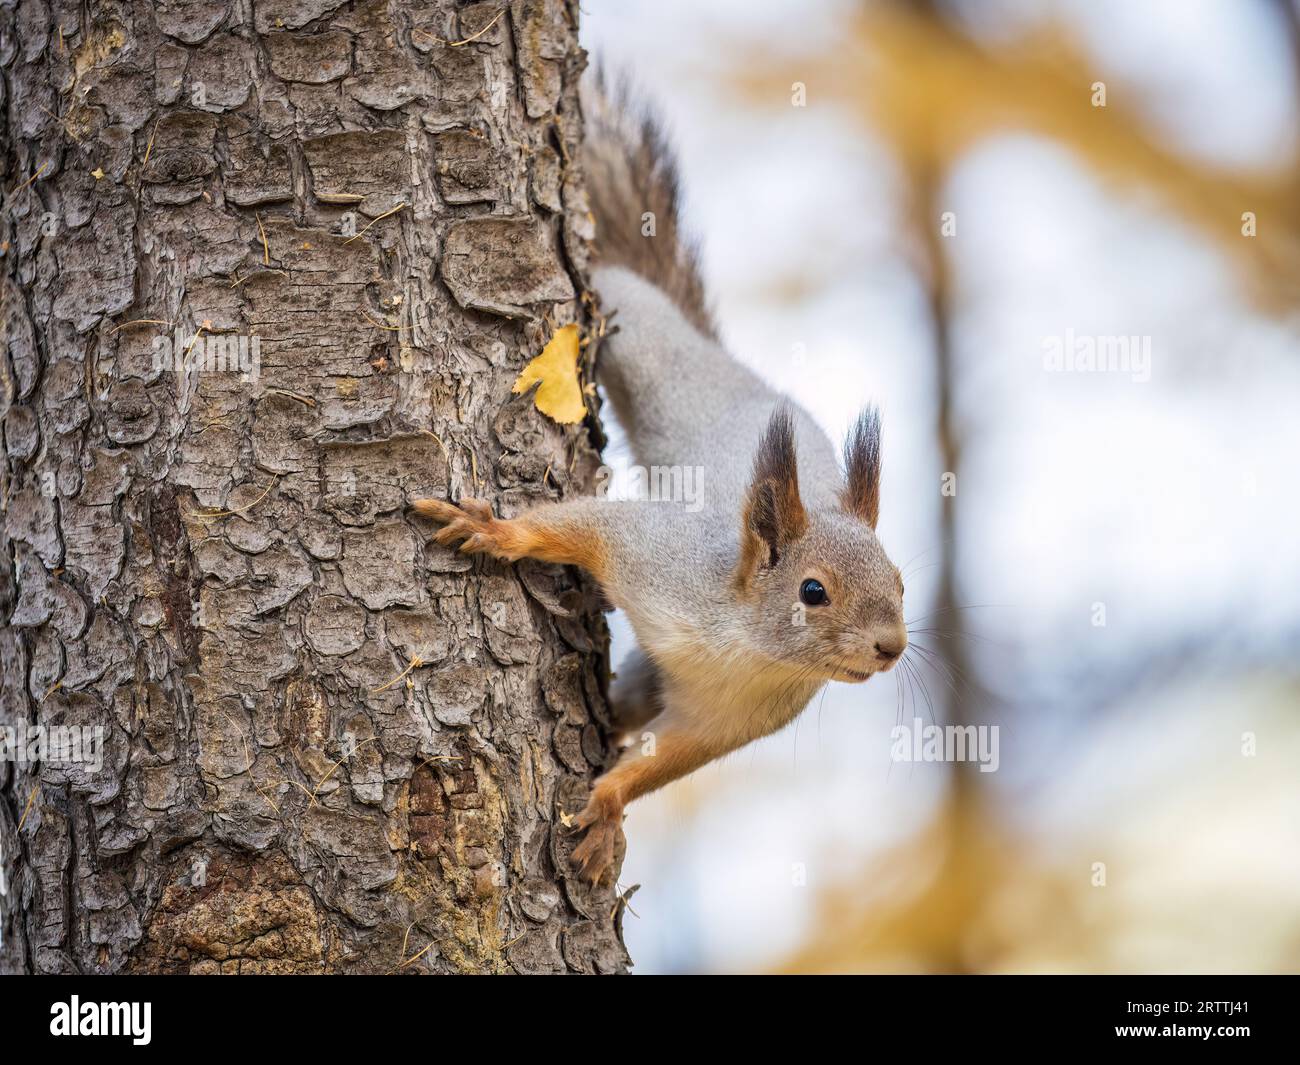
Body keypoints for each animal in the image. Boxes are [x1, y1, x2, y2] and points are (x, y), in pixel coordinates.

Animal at [412, 76, 907, 885]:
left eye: (900, 582)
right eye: (813, 591)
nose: (892, 646)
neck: (746, 647)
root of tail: (724, 361)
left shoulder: (727, 722)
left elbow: (661, 762)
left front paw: (608, 808)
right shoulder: (655, 556)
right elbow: (582, 525)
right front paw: (497, 530)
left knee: (636, 705)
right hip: (650, 346)